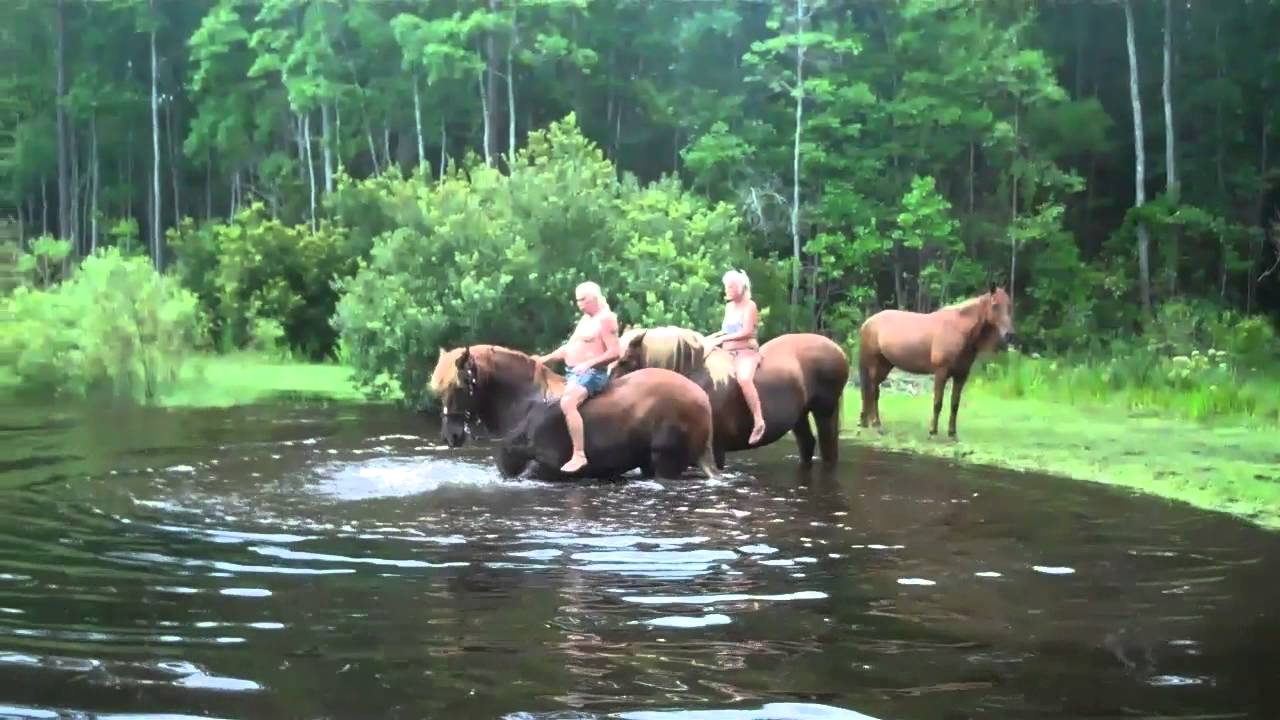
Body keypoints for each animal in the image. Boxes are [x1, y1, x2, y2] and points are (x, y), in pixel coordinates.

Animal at [429, 344, 717, 480]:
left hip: (665, 463)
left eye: (460, 385)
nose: (450, 435)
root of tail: (701, 397)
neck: (525, 406)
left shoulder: (545, 470)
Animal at [608, 328, 849, 468]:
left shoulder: (716, 450)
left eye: (624, 360)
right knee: (807, 444)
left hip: (825, 411)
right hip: (799, 416)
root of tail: (837, 350)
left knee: (828, 448)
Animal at [857, 284, 1015, 439]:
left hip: (885, 365)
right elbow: (937, 403)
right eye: (995, 305)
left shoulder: (961, 375)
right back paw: (876, 424)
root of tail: (868, 322)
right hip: (874, 364)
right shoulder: (941, 373)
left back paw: (865, 422)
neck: (958, 330)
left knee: (870, 391)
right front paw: (933, 432)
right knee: (873, 391)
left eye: (1009, 305)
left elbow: (955, 404)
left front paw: (952, 434)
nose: (1009, 335)